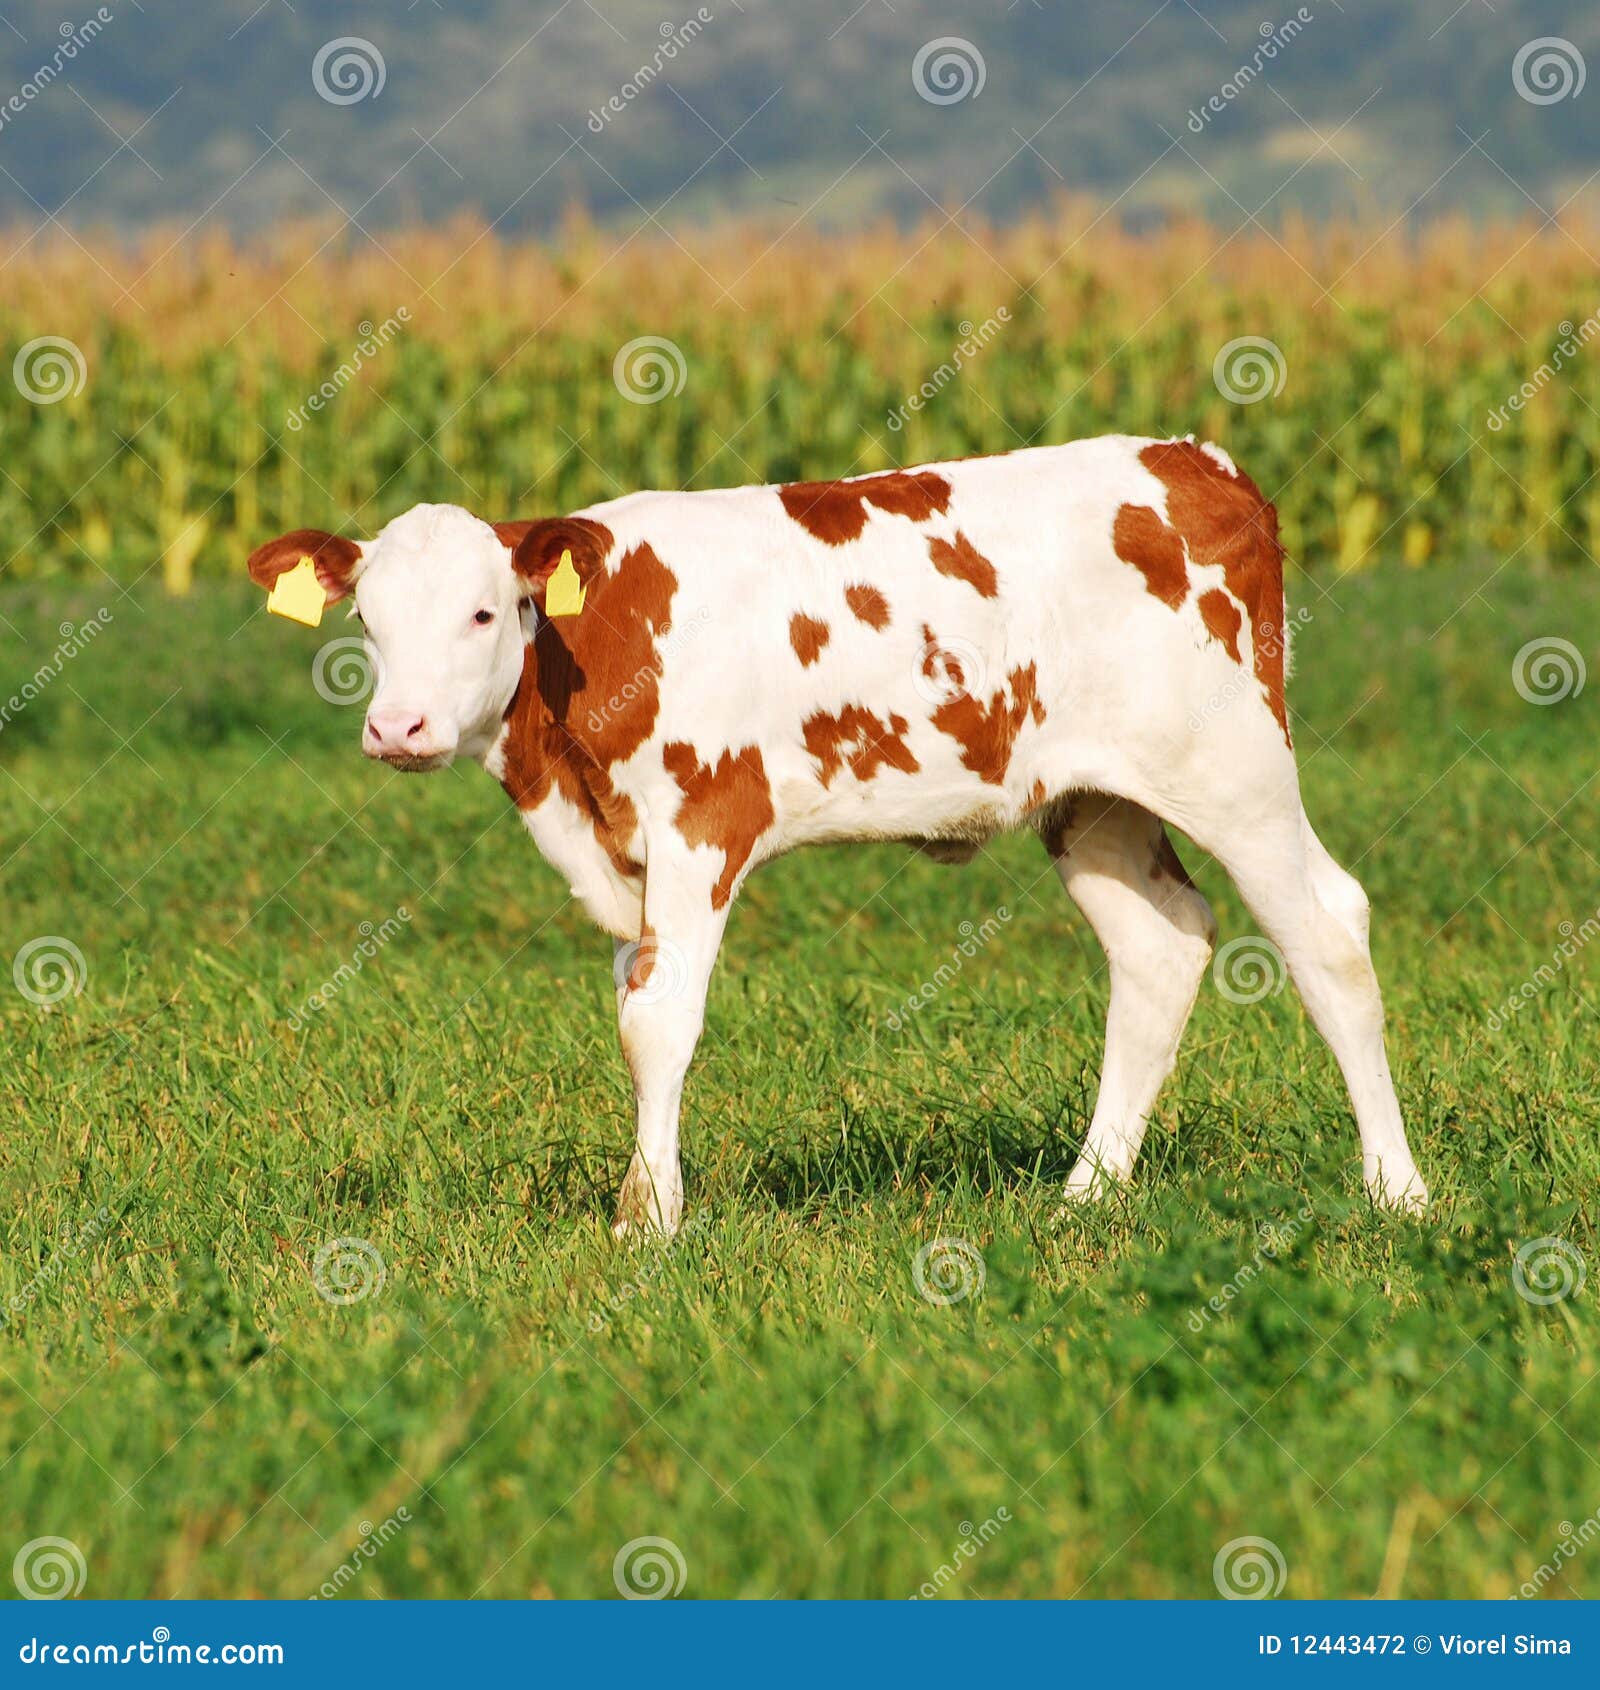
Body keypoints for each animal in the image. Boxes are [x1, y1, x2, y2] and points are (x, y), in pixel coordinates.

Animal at [248, 436, 1428, 1235]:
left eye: (486, 612)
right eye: (366, 621)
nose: (398, 728)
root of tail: (1194, 459)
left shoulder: (704, 820)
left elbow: (659, 1020)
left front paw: (649, 1222)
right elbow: (631, 999)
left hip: (1233, 766)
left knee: (1327, 931)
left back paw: (1397, 1192)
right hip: (1096, 796)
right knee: (1160, 946)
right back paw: (1085, 1196)